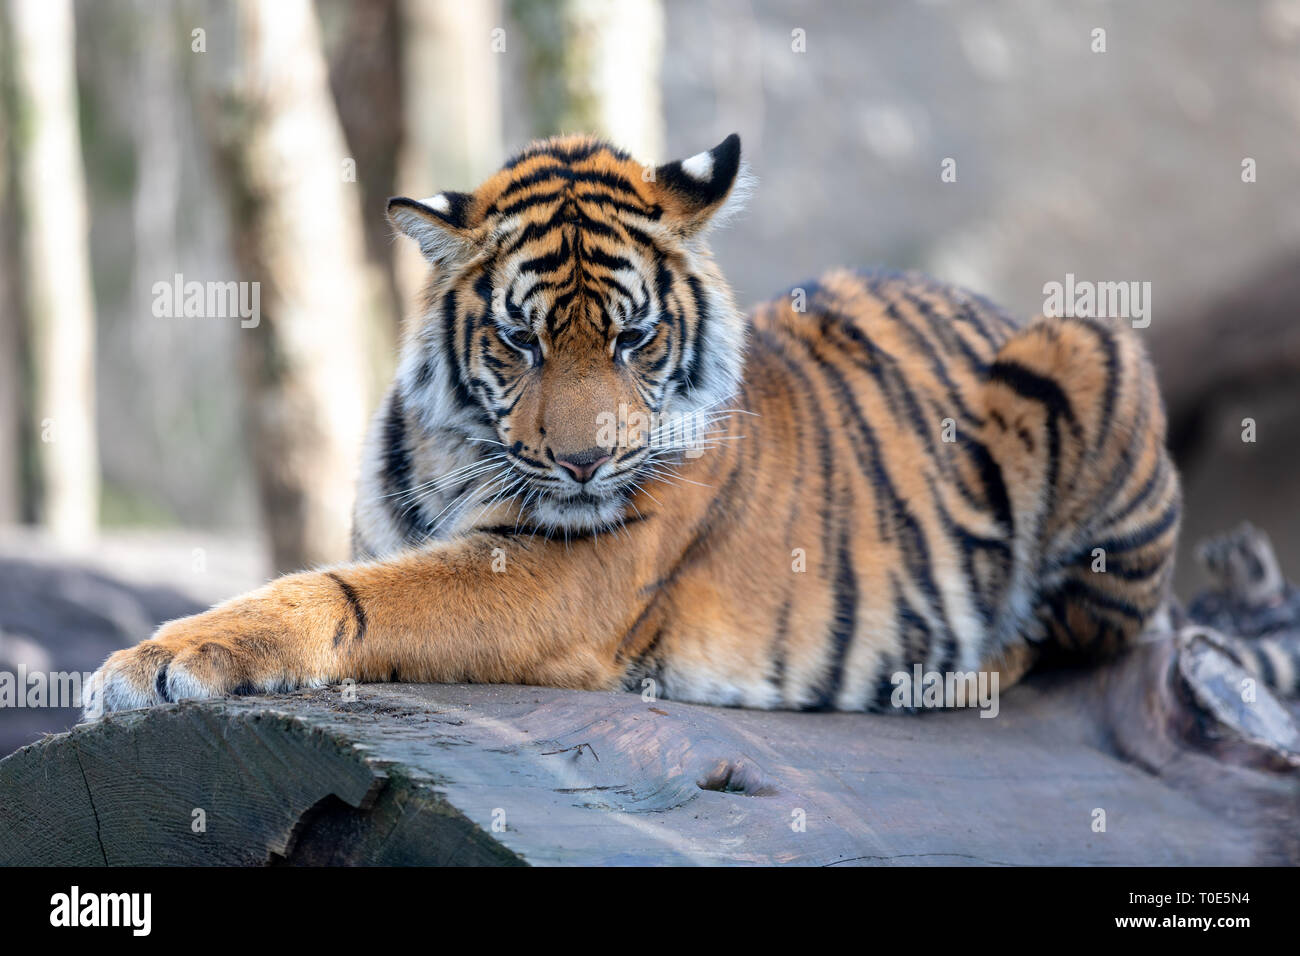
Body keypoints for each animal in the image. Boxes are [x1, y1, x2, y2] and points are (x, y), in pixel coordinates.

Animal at [85, 132, 1185, 718]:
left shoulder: (569, 573)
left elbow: (357, 596)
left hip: (1087, 345)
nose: (583, 464)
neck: (453, 451)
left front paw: (153, 662)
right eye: (520, 341)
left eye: (636, 337)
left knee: (1075, 639)